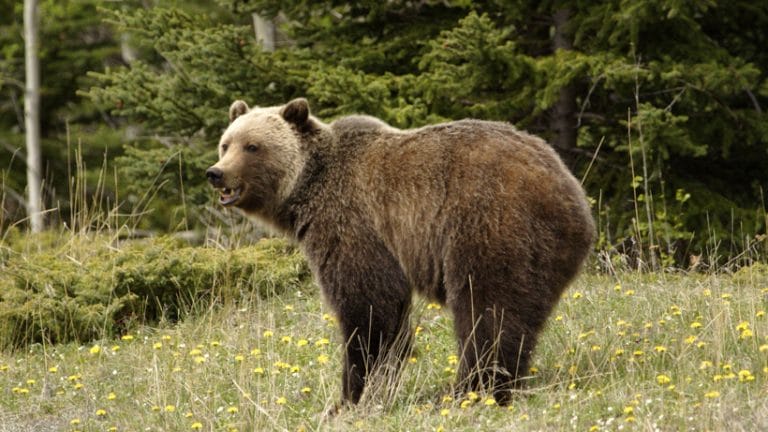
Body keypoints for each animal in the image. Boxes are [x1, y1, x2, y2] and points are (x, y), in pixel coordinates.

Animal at [206, 98, 595, 406]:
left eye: (252, 146)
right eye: (225, 144)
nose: (216, 173)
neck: (306, 190)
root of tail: (571, 192)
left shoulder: (352, 222)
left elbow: (369, 306)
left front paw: (350, 397)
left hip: (491, 225)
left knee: (488, 310)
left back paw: (471, 389)